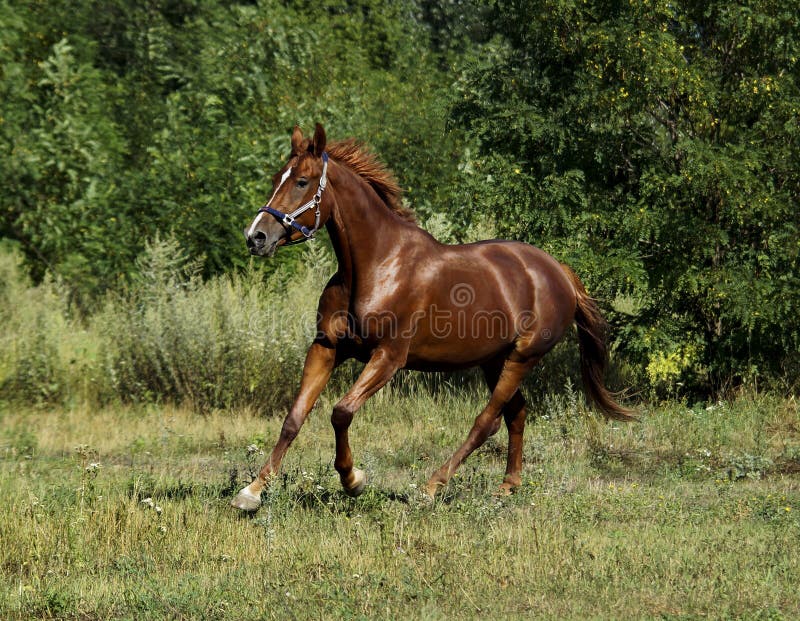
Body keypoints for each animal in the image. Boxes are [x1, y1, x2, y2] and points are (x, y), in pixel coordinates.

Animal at [233, 124, 635, 511]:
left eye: (302, 181)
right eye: (276, 178)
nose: (256, 236)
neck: (375, 266)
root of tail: (559, 272)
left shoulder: (388, 358)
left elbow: (341, 412)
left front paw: (353, 480)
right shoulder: (327, 348)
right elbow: (294, 419)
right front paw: (252, 492)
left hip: (523, 358)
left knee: (486, 422)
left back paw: (432, 487)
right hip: (495, 360)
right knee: (516, 414)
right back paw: (507, 488)